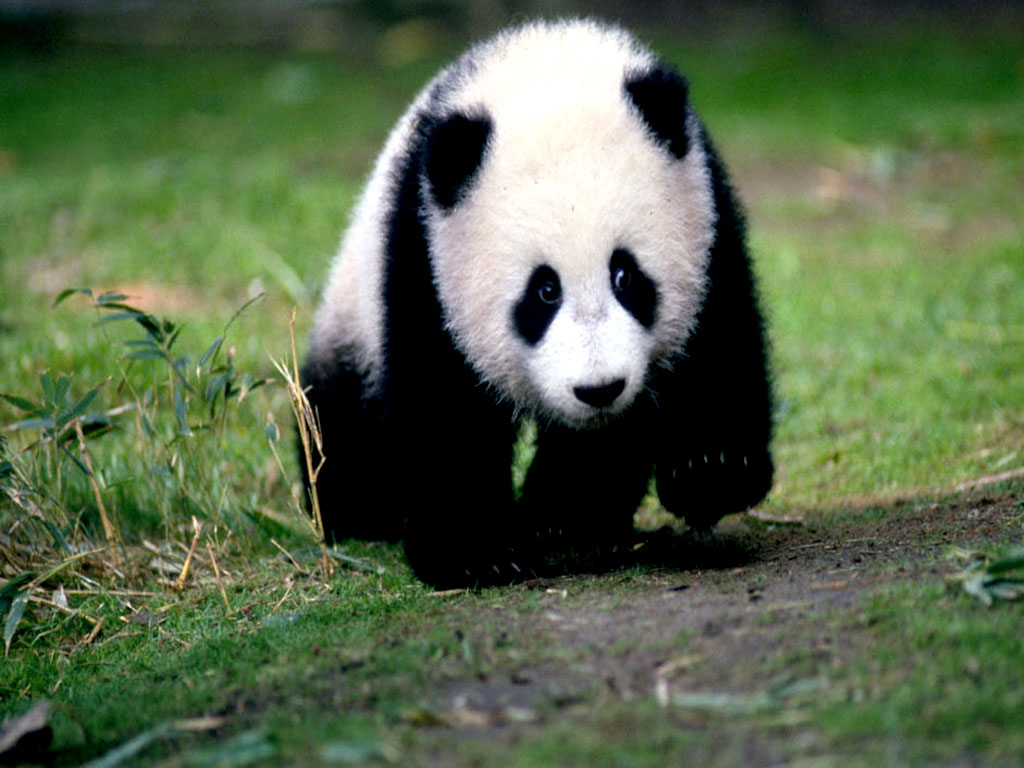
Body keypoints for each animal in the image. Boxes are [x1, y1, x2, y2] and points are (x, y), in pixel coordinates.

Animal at [301, 19, 773, 588]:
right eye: (544, 291)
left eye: (626, 276)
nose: (600, 389)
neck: (544, 63)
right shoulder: (425, 250)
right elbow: (442, 401)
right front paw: (476, 551)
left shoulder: (705, 210)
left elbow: (719, 341)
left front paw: (709, 467)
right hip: (353, 310)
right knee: (340, 420)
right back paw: (357, 510)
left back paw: (568, 516)